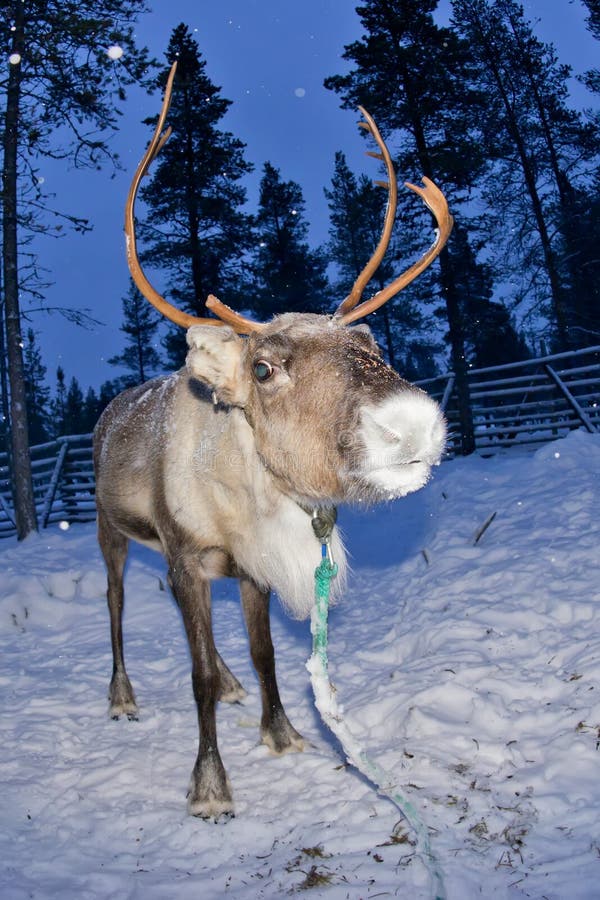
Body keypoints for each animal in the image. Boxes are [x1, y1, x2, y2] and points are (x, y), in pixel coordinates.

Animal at [93, 63, 452, 820]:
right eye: (262, 369)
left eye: (370, 340)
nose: (412, 423)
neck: (249, 501)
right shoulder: (188, 555)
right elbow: (195, 675)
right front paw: (209, 786)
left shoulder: (247, 569)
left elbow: (264, 655)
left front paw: (282, 733)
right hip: (112, 532)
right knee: (114, 605)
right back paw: (121, 697)